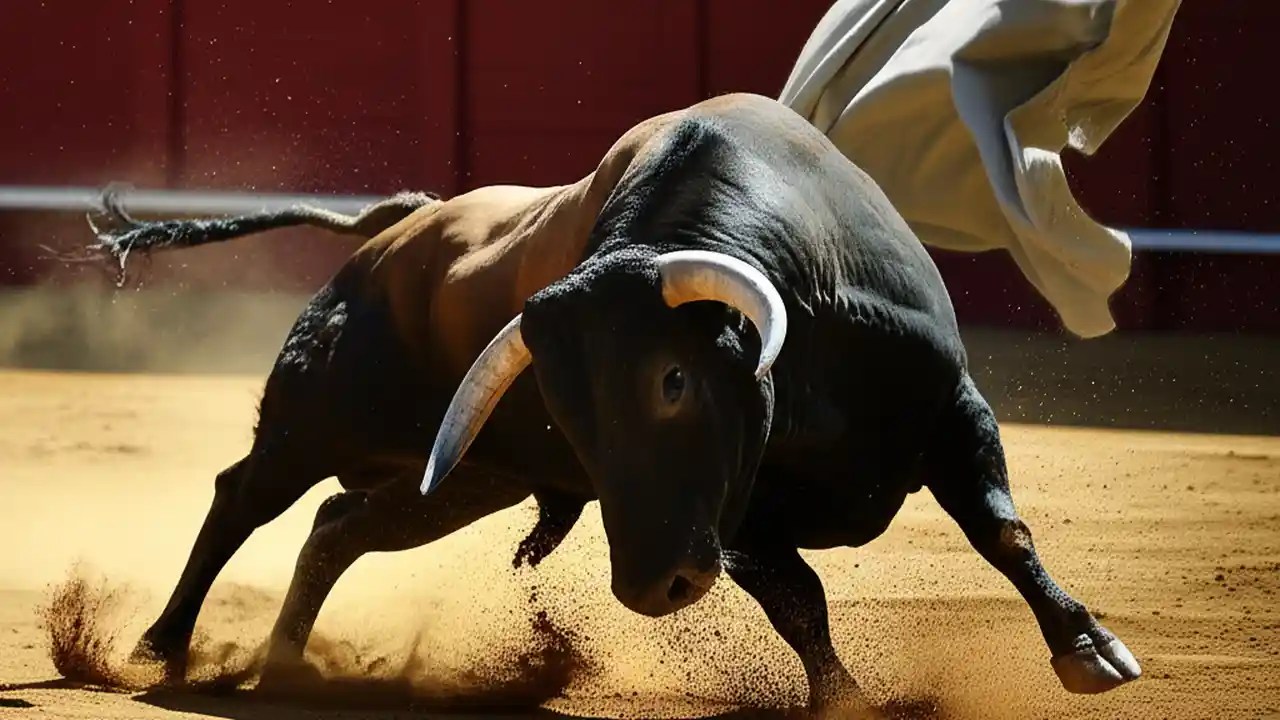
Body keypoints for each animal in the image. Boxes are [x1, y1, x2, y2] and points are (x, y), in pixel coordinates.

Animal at [80, 93, 1139, 717]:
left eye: (672, 382)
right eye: (567, 415)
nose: (647, 588)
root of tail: (399, 230)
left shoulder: (953, 409)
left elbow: (1003, 534)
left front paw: (1090, 651)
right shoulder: (731, 521)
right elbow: (800, 599)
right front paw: (845, 699)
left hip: (462, 484)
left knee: (336, 526)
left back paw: (285, 664)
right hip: (314, 423)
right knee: (244, 496)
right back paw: (160, 645)